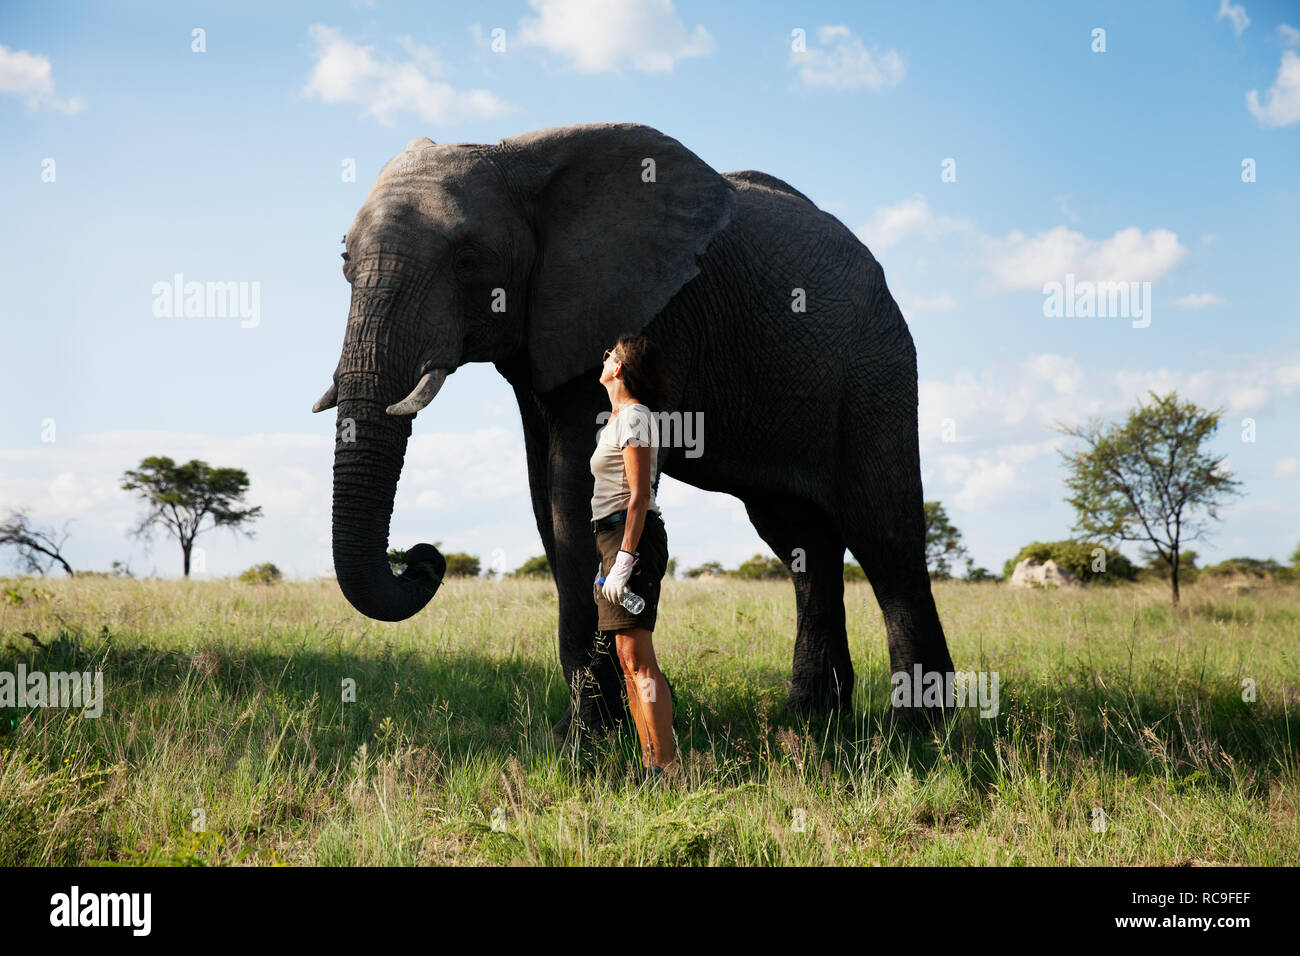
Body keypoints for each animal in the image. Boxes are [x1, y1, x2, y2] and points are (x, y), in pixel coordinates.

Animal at [313, 122, 955, 745]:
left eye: (468, 260)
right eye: (343, 259)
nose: (422, 557)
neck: (518, 157)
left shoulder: (649, 314)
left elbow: (572, 491)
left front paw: (583, 745)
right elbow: (548, 499)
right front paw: (585, 733)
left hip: (874, 370)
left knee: (885, 534)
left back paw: (918, 734)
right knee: (803, 544)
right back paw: (810, 721)